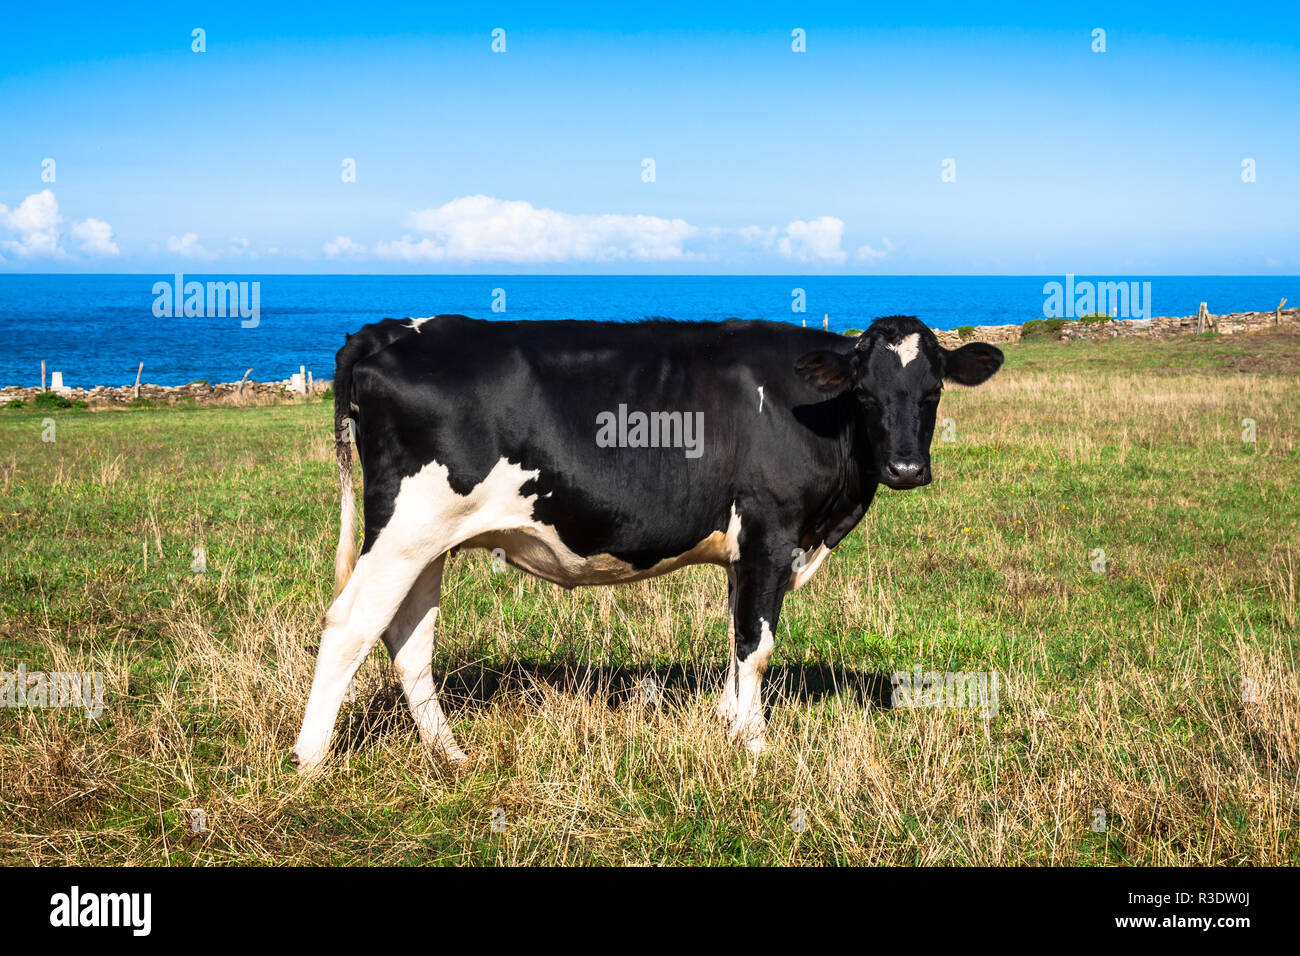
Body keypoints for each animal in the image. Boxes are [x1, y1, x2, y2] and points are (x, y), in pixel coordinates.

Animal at [290, 313, 1003, 770]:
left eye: (932, 391)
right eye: (866, 392)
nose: (907, 468)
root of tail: (392, 331)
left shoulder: (742, 550)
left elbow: (736, 636)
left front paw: (728, 722)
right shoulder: (771, 533)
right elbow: (758, 647)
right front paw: (755, 744)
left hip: (428, 539)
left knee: (408, 635)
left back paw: (449, 752)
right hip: (406, 529)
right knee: (351, 625)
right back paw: (311, 760)